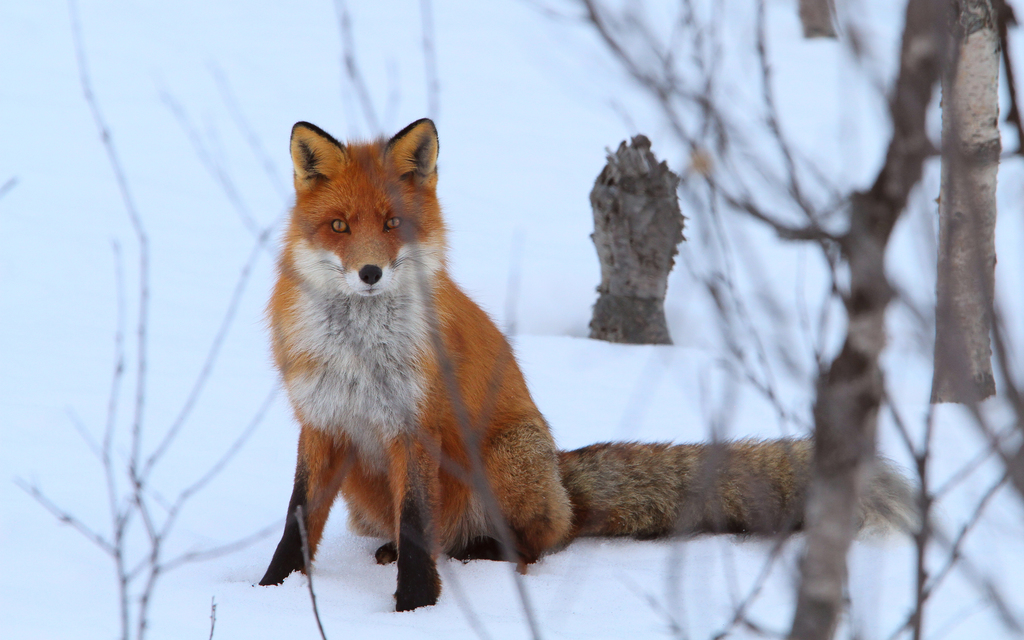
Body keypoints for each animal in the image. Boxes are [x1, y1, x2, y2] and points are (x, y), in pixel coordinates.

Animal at [258, 119, 917, 611]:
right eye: (340, 226)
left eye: (393, 224)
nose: (370, 273)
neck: (359, 354)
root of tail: (562, 480)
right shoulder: (322, 423)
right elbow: (297, 519)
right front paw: (272, 593)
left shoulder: (414, 427)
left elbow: (418, 525)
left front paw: (415, 607)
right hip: (369, 498)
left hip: (504, 457)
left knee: (536, 542)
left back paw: (488, 553)